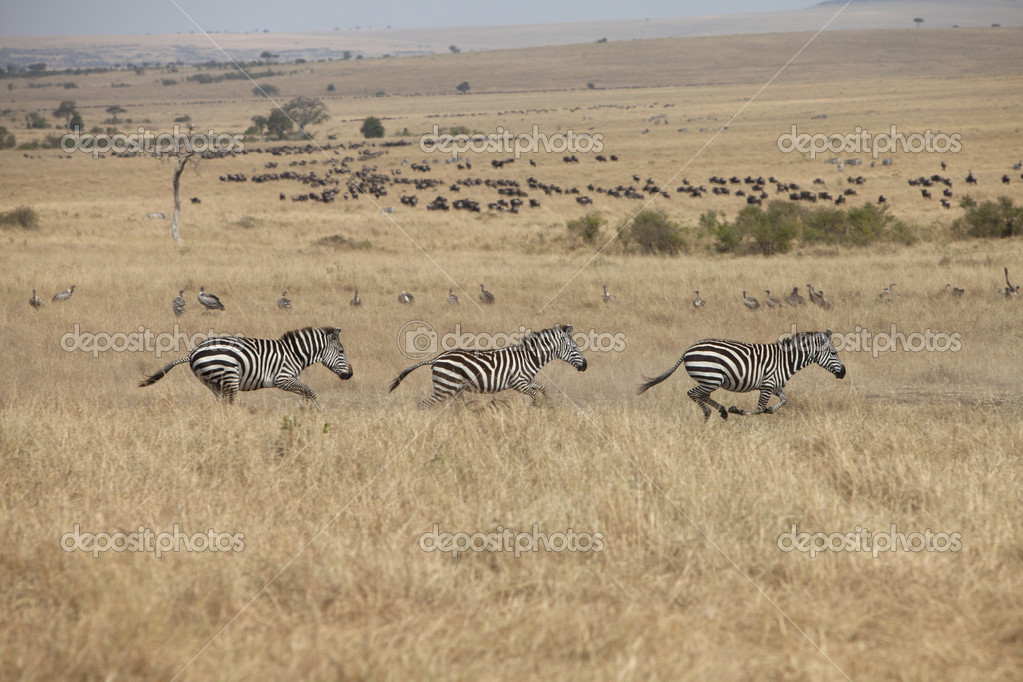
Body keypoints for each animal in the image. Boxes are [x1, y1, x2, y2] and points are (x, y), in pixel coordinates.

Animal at [139, 326, 353, 408]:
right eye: (342, 351)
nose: (350, 374)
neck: (295, 354)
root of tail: (192, 352)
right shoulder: (282, 379)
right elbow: (311, 391)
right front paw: (318, 411)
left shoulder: (293, 380)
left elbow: (307, 393)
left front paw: (307, 410)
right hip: (229, 374)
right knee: (231, 401)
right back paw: (251, 412)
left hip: (211, 381)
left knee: (224, 402)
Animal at [389, 324, 587, 407]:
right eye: (575, 348)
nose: (585, 366)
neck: (529, 358)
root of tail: (436, 359)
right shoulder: (518, 383)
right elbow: (535, 395)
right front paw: (536, 408)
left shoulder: (528, 381)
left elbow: (544, 390)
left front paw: (550, 410)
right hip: (445, 388)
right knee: (423, 404)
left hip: (454, 389)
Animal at [637, 330, 846, 420]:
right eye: (834, 353)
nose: (843, 373)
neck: (786, 360)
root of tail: (688, 349)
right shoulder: (768, 384)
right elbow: (759, 408)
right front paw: (737, 410)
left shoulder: (774, 385)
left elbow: (784, 400)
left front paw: (771, 409)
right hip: (711, 377)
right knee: (693, 393)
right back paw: (709, 413)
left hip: (710, 380)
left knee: (702, 395)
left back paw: (720, 411)